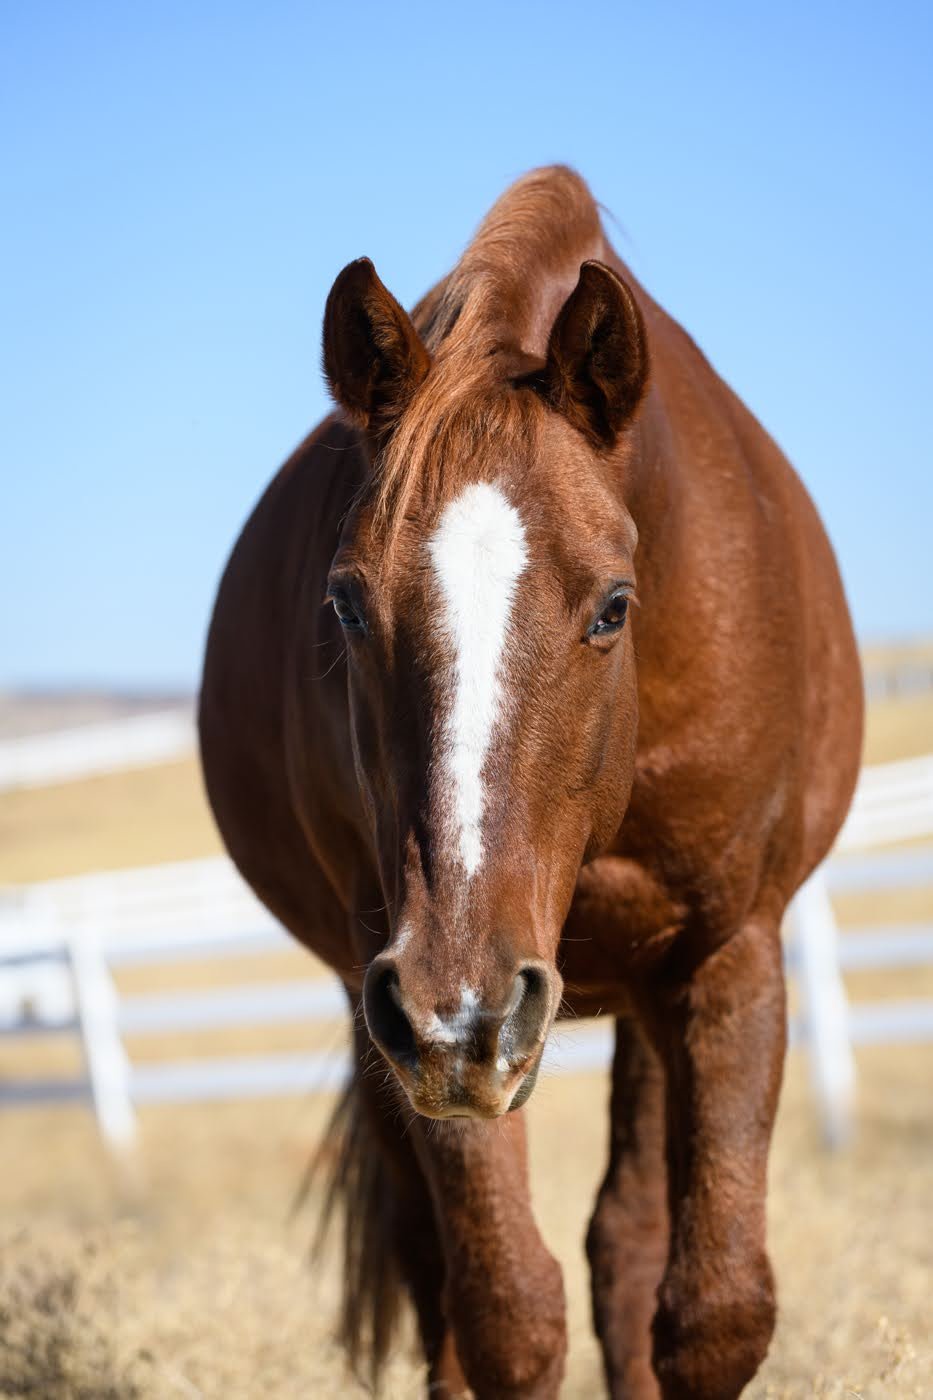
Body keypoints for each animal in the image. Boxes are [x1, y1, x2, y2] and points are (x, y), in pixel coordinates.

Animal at [199, 165, 862, 1399]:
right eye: (346, 604)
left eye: (612, 605)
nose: (462, 998)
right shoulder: (425, 1016)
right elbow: (507, 1312)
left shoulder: (730, 948)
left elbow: (710, 1311)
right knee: (438, 1274)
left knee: (627, 1242)